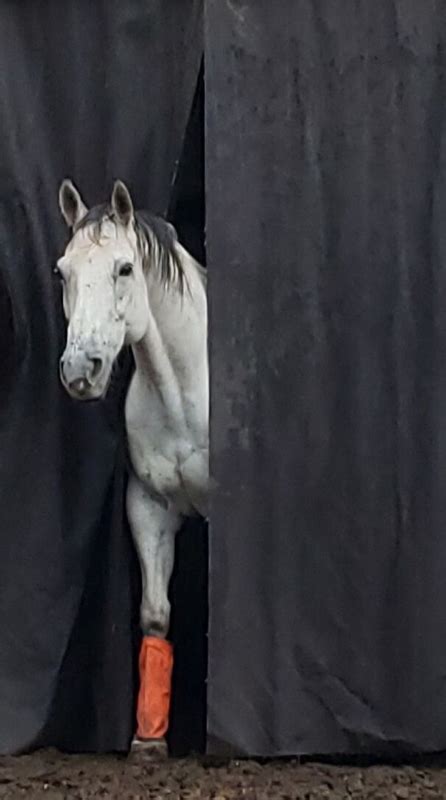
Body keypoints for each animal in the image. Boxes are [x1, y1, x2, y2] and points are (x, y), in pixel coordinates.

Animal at [56, 179, 209, 756]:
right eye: (63, 271)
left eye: (124, 268)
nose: (81, 369)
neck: (183, 388)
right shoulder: (149, 508)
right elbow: (155, 615)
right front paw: (149, 739)